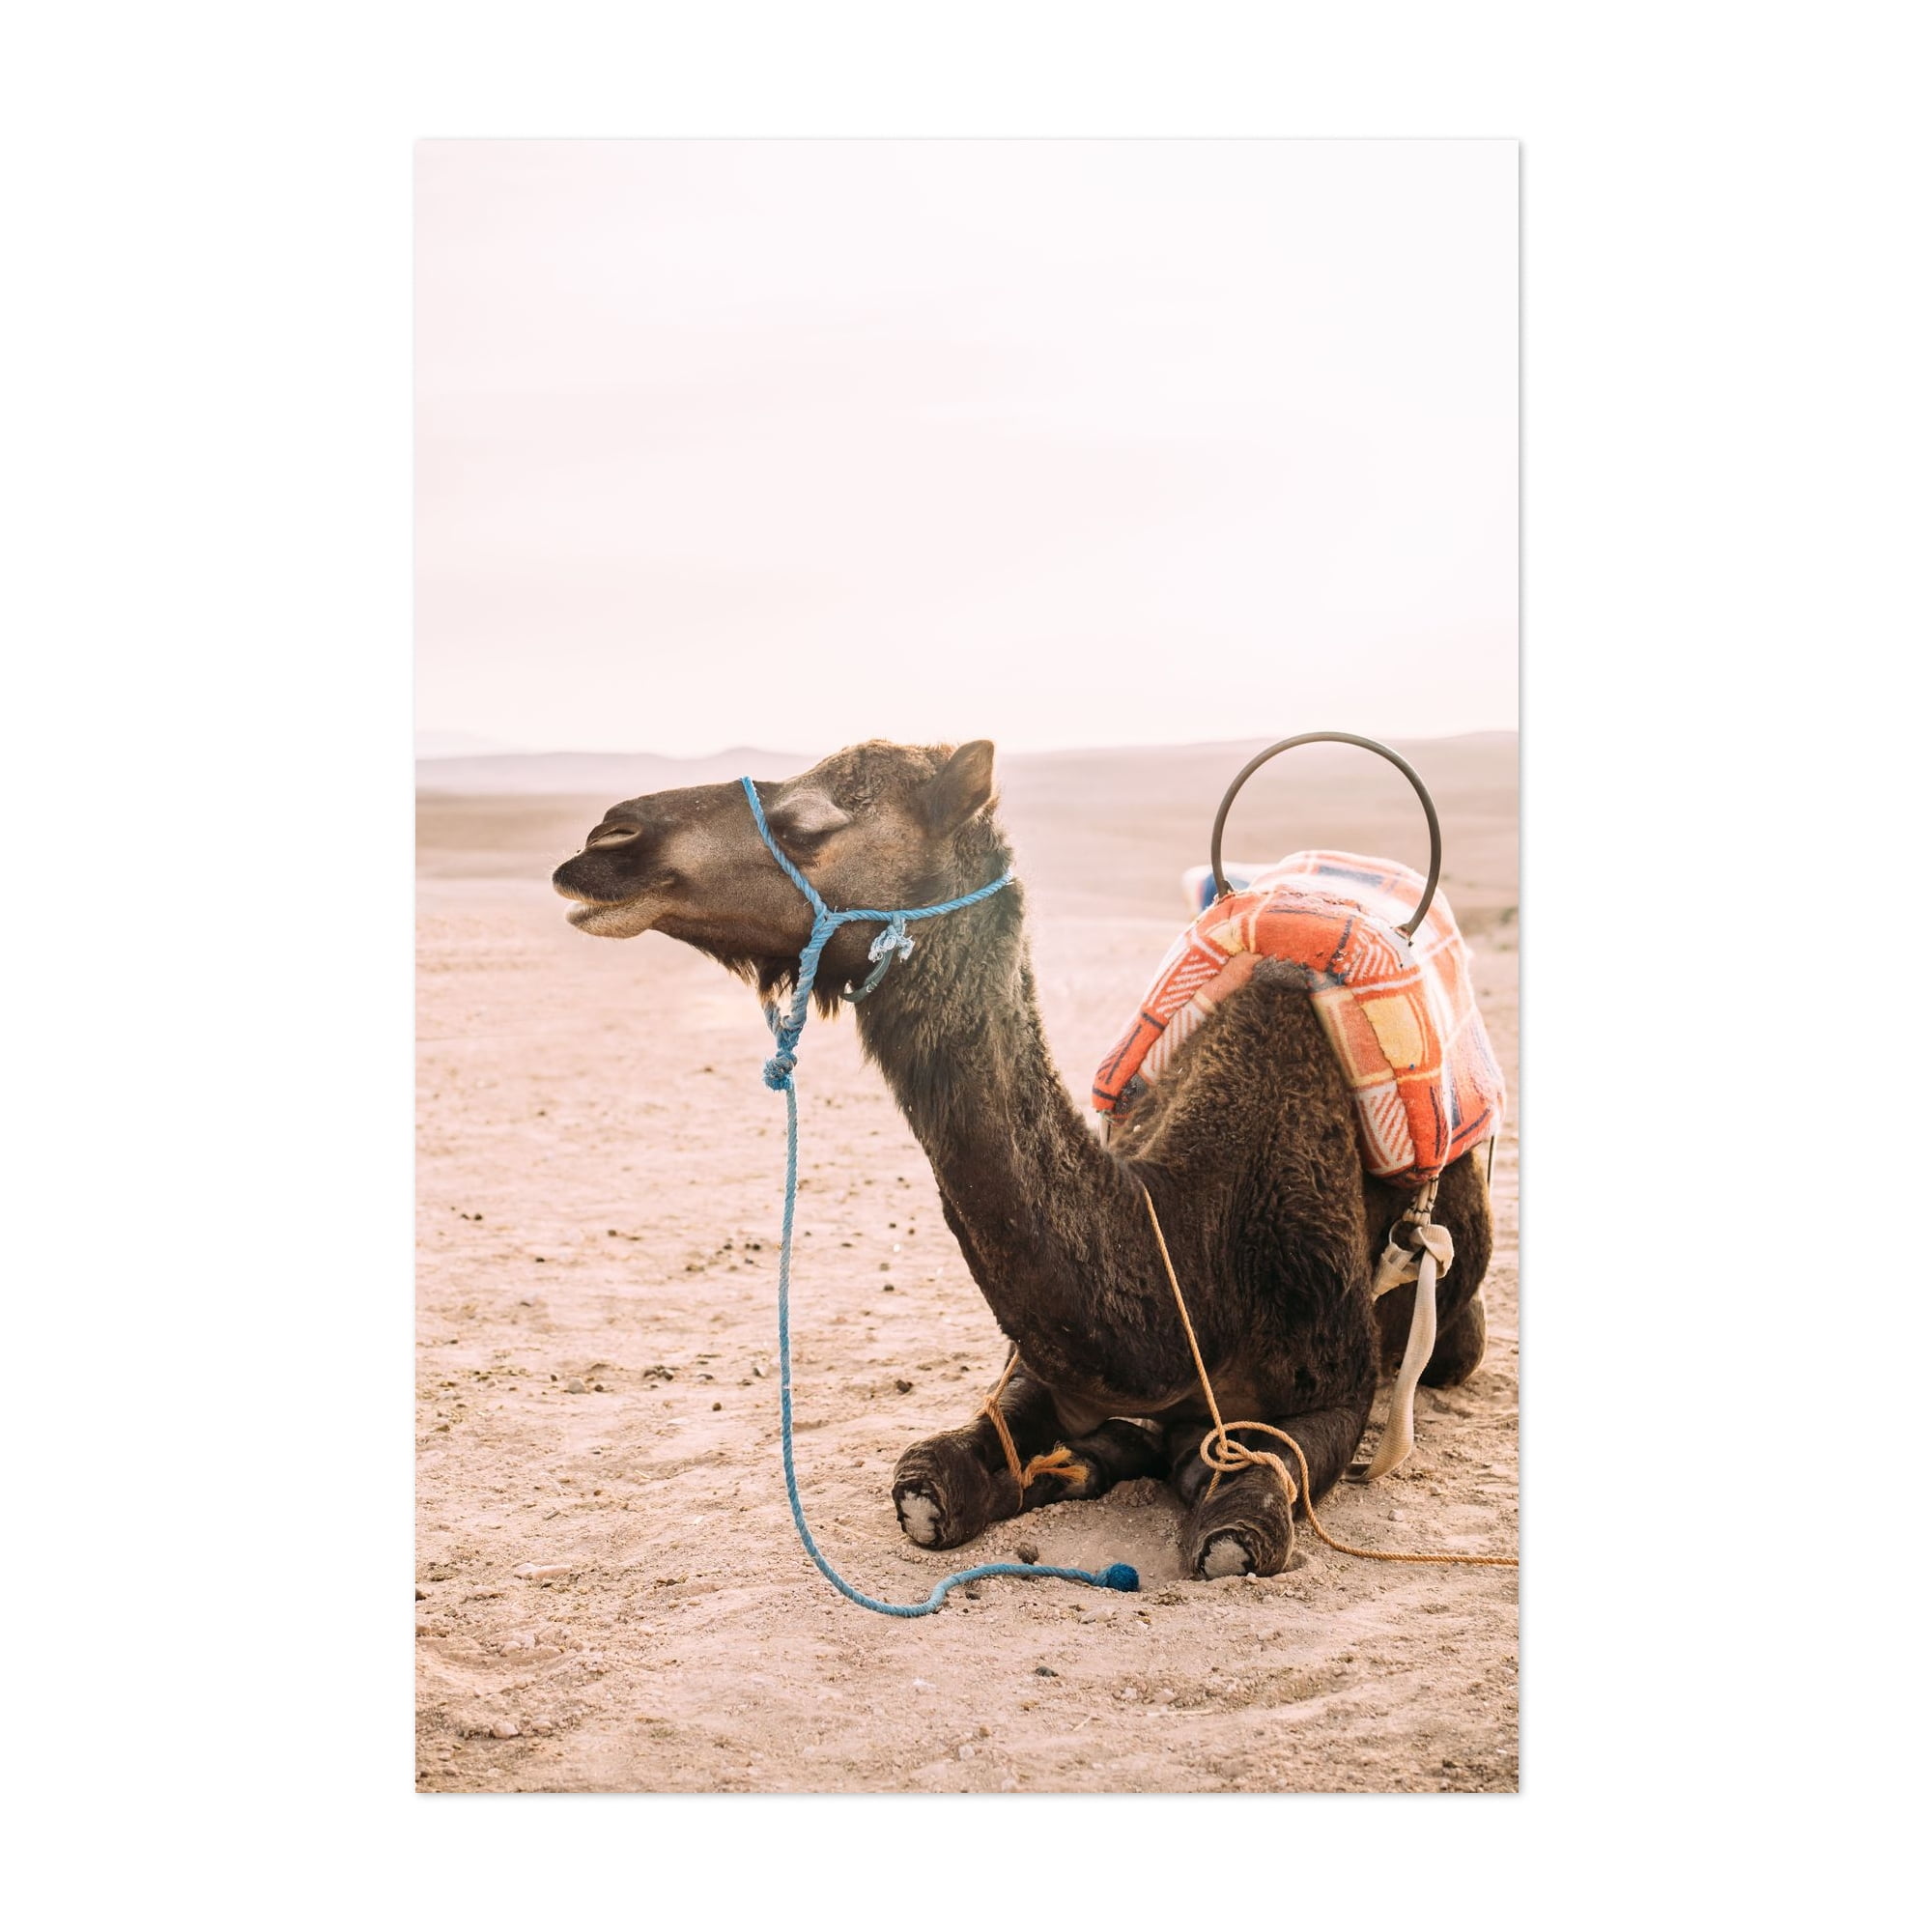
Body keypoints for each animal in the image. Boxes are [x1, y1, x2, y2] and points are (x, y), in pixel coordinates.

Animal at [551, 738, 1492, 1579]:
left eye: (809, 822)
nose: (602, 843)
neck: (1195, 1254)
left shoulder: (1337, 1386)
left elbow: (1242, 1523)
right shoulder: (1044, 1371)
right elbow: (928, 1482)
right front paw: (1084, 1458)